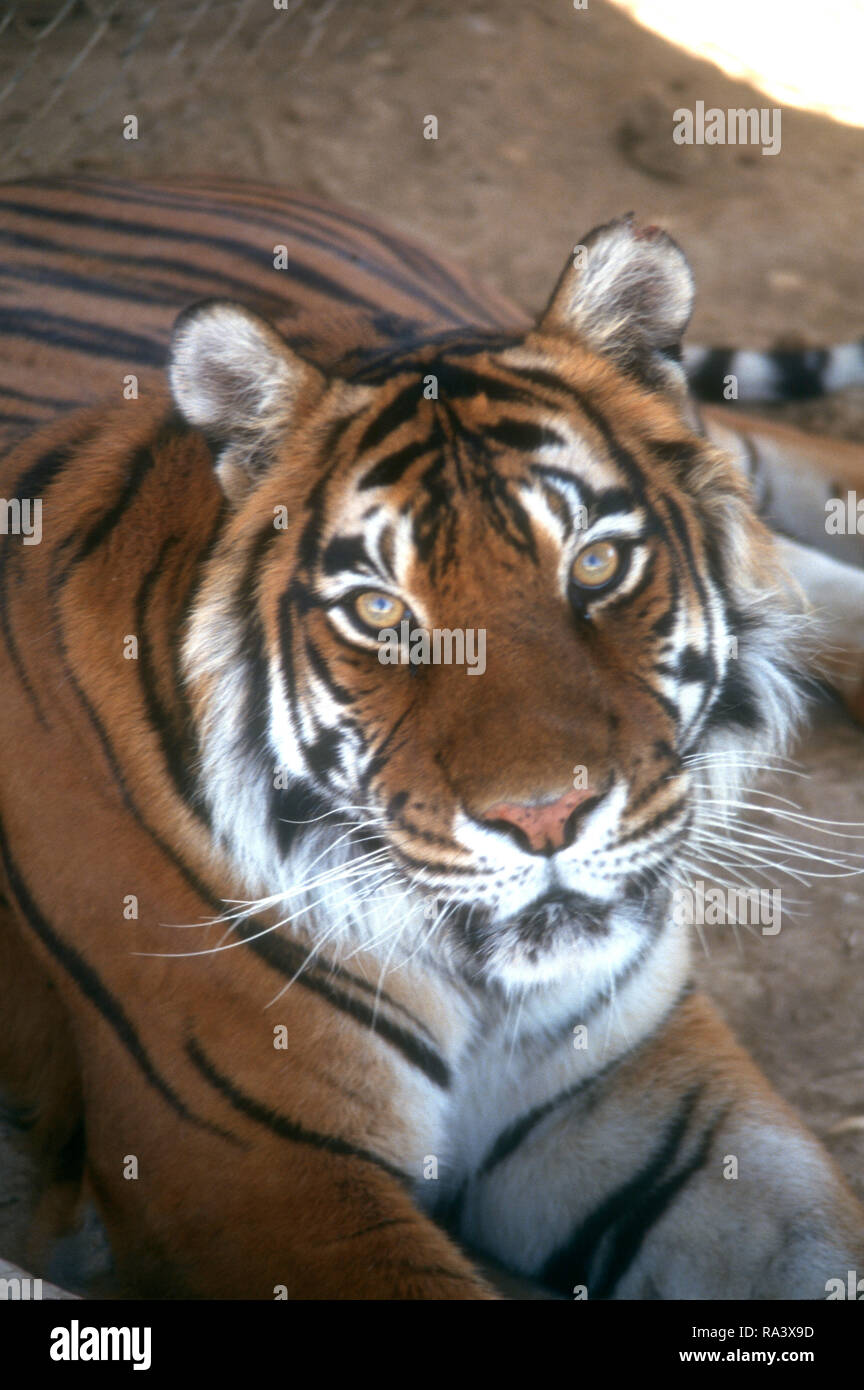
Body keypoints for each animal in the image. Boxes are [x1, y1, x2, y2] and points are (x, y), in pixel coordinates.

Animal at [1, 177, 864, 1300]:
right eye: (379, 610)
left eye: (595, 564)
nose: (545, 817)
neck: (482, 986)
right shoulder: (258, 1175)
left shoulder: (646, 1085)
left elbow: (822, 1239)